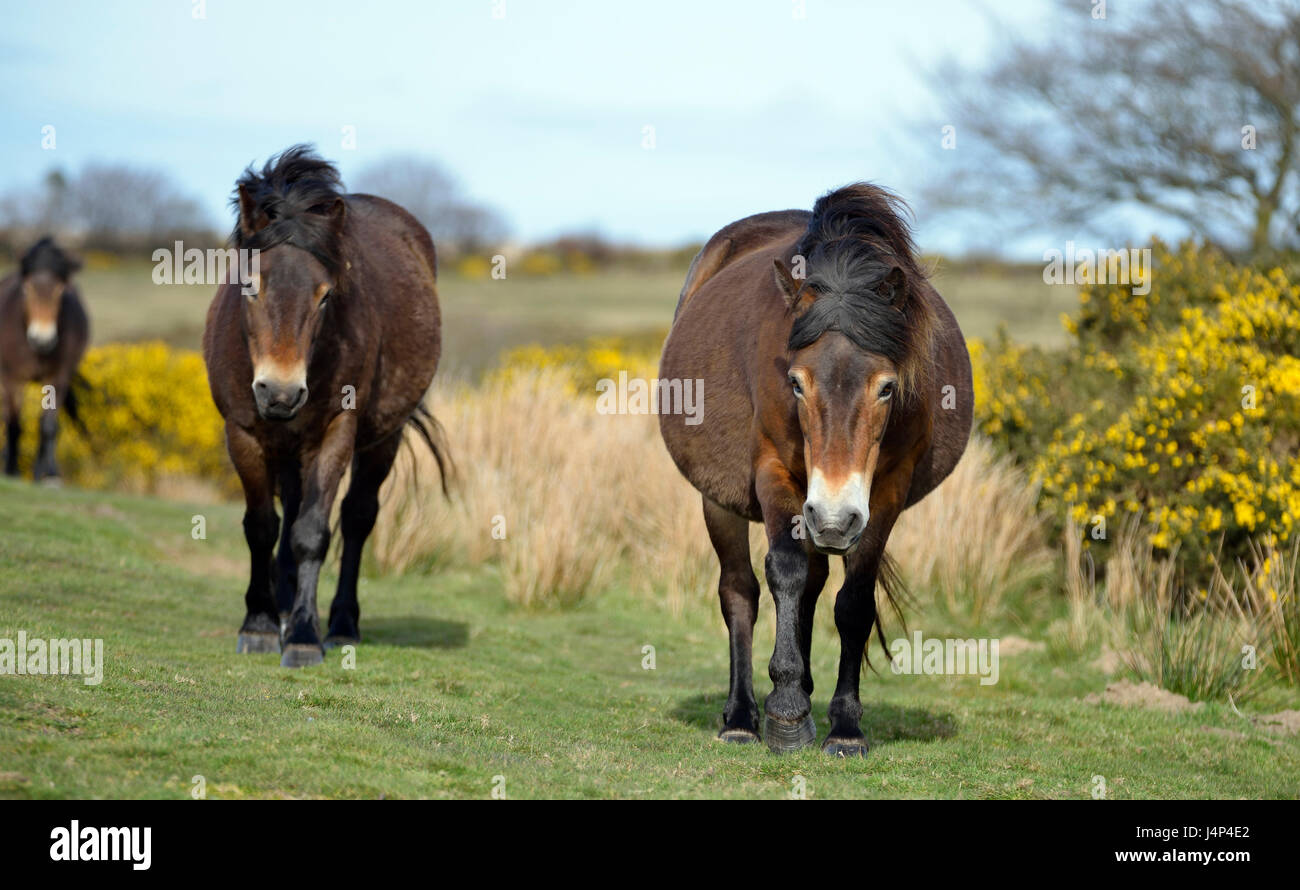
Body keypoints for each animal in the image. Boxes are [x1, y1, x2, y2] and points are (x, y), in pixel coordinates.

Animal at [0, 237, 90, 481]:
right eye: (27, 288)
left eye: (60, 290)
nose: (42, 339)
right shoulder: (13, 380)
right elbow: (14, 425)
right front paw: (11, 471)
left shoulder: (58, 377)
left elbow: (48, 425)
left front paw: (50, 474)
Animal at [203, 145, 451, 668]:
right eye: (250, 286)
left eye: (325, 296)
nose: (279, 392)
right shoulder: (243, 432)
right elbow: (262, 527)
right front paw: (259, 624)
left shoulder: (337, 430)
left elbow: (312, 532)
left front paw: (302, 635)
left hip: (382, 439)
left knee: (357, 518)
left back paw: (340, 624)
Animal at [658, 184, 973, 755]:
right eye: (796, 382)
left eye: (887, 387)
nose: (833, 516)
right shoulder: (773, 473)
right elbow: (784, 572)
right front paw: (784, 712)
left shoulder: (885, 494)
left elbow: (853, 602)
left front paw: (843, 725)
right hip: (721, 502)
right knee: (740, 593)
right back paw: (743, 715)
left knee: (814, 582)